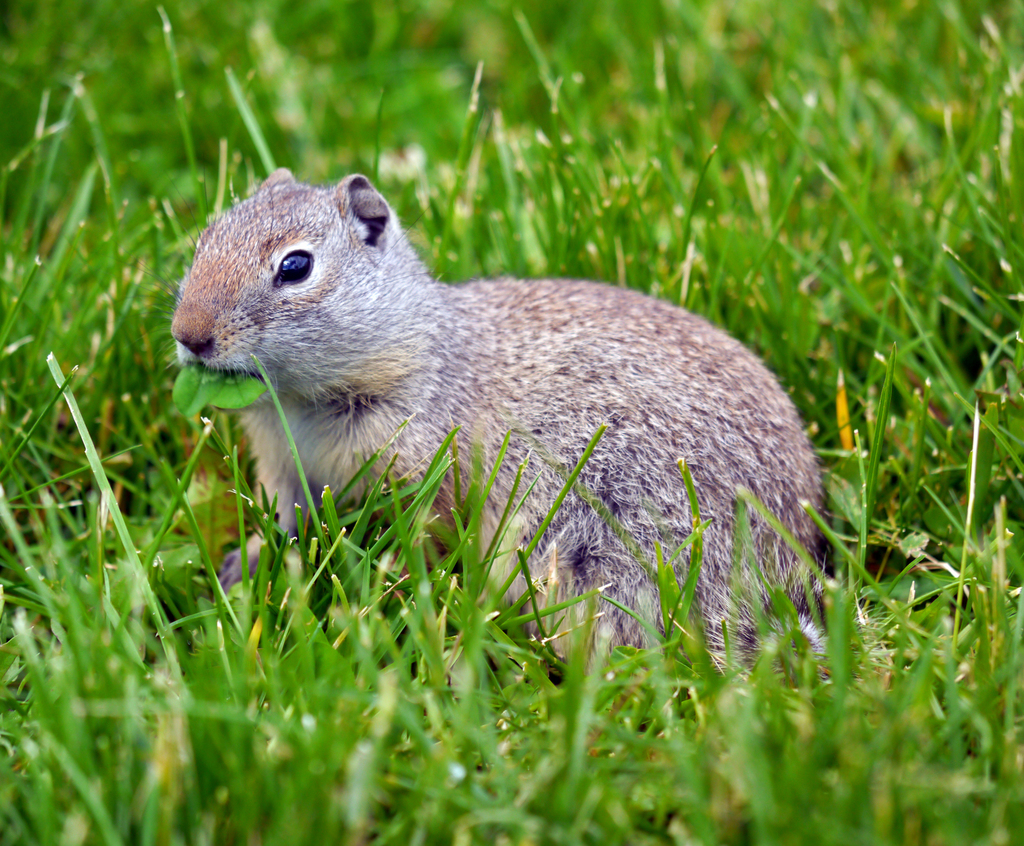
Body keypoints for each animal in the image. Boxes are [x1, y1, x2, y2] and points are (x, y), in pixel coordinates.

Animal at [171, 169, 827, 661]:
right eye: (204, 240)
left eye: (296, 267)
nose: (189, 335)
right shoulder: (285, 470)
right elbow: (284, 519)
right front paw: (244, 564)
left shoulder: (422, 468)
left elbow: (422, 536)